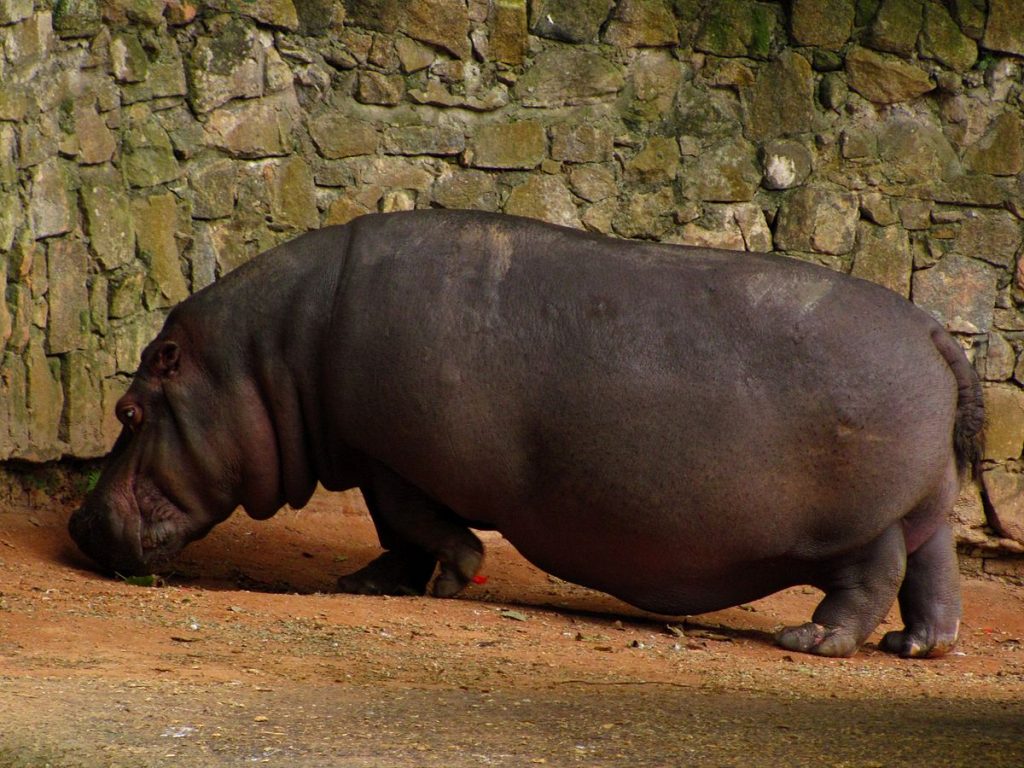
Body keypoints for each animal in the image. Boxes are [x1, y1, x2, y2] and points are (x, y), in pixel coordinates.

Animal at [69, 209, 983, 658]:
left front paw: (450, 577)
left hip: (860, 519)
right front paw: (365, 583)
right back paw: (917, 647)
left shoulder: (390, 460)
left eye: (128, 411)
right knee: (936, 568)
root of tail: (934, 327)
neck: (269, 357)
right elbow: (393, 537)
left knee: (874, 573)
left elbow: (414, 524)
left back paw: (814, 641)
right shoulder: (375, 456)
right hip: (929, 501)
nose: (77, 521)